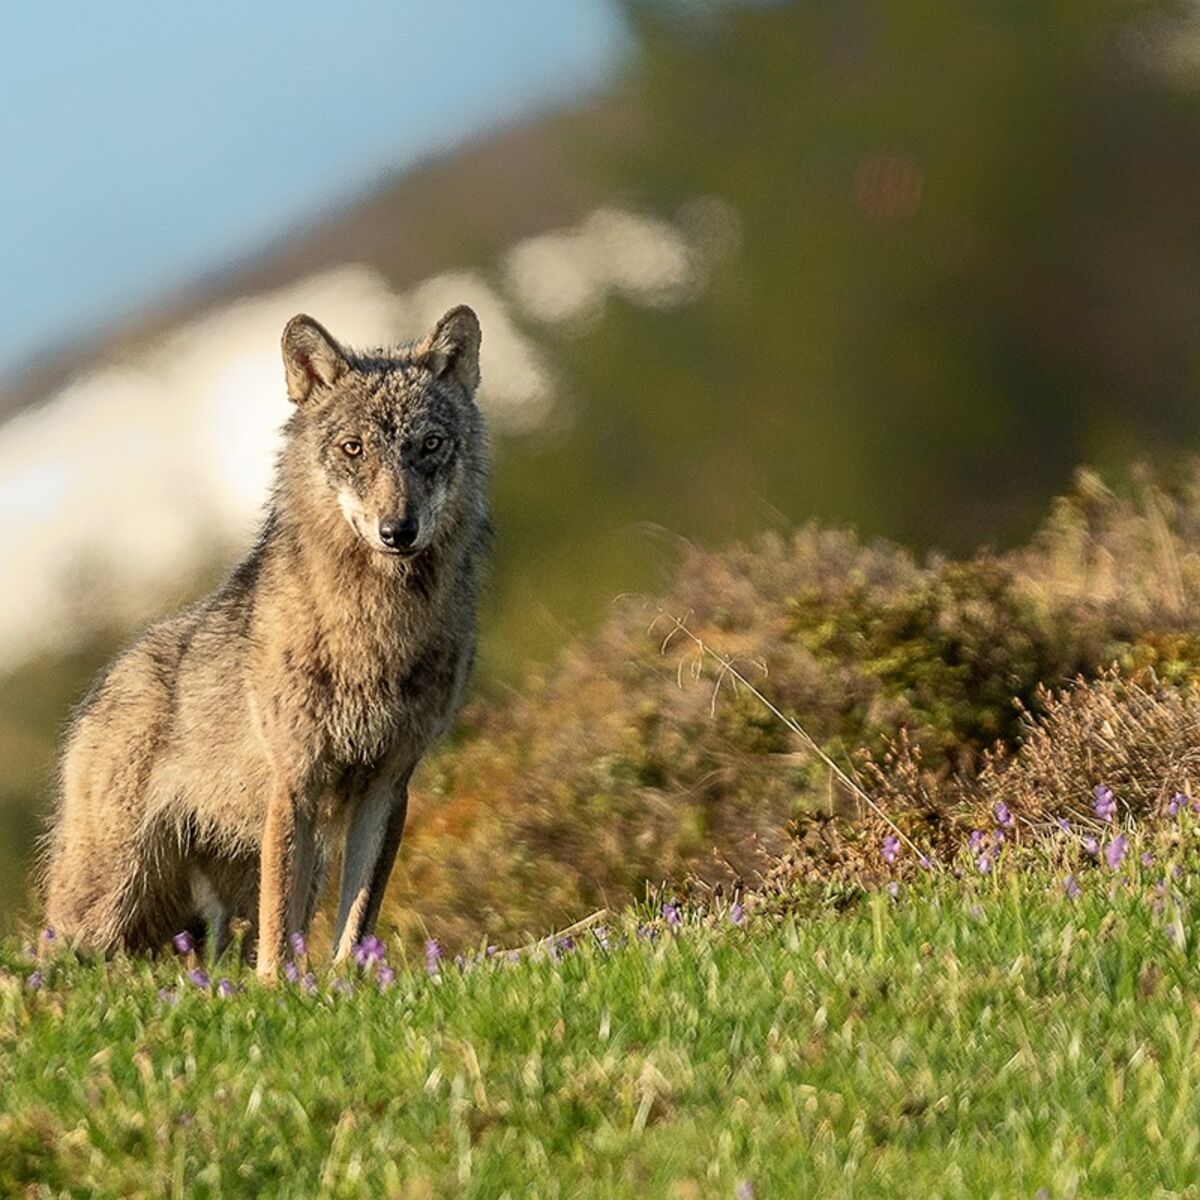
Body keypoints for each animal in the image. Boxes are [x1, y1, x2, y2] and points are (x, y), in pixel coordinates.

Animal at [42, 306, 489, 978]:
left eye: (429, 446)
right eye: (353, 448)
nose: (398, 531)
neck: (373, 630)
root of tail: (103, 684)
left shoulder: (388, 785)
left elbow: (356, 917)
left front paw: (347, 983)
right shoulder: (294, 781)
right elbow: (281, 927)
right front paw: (279, 987)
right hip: (108, 897)